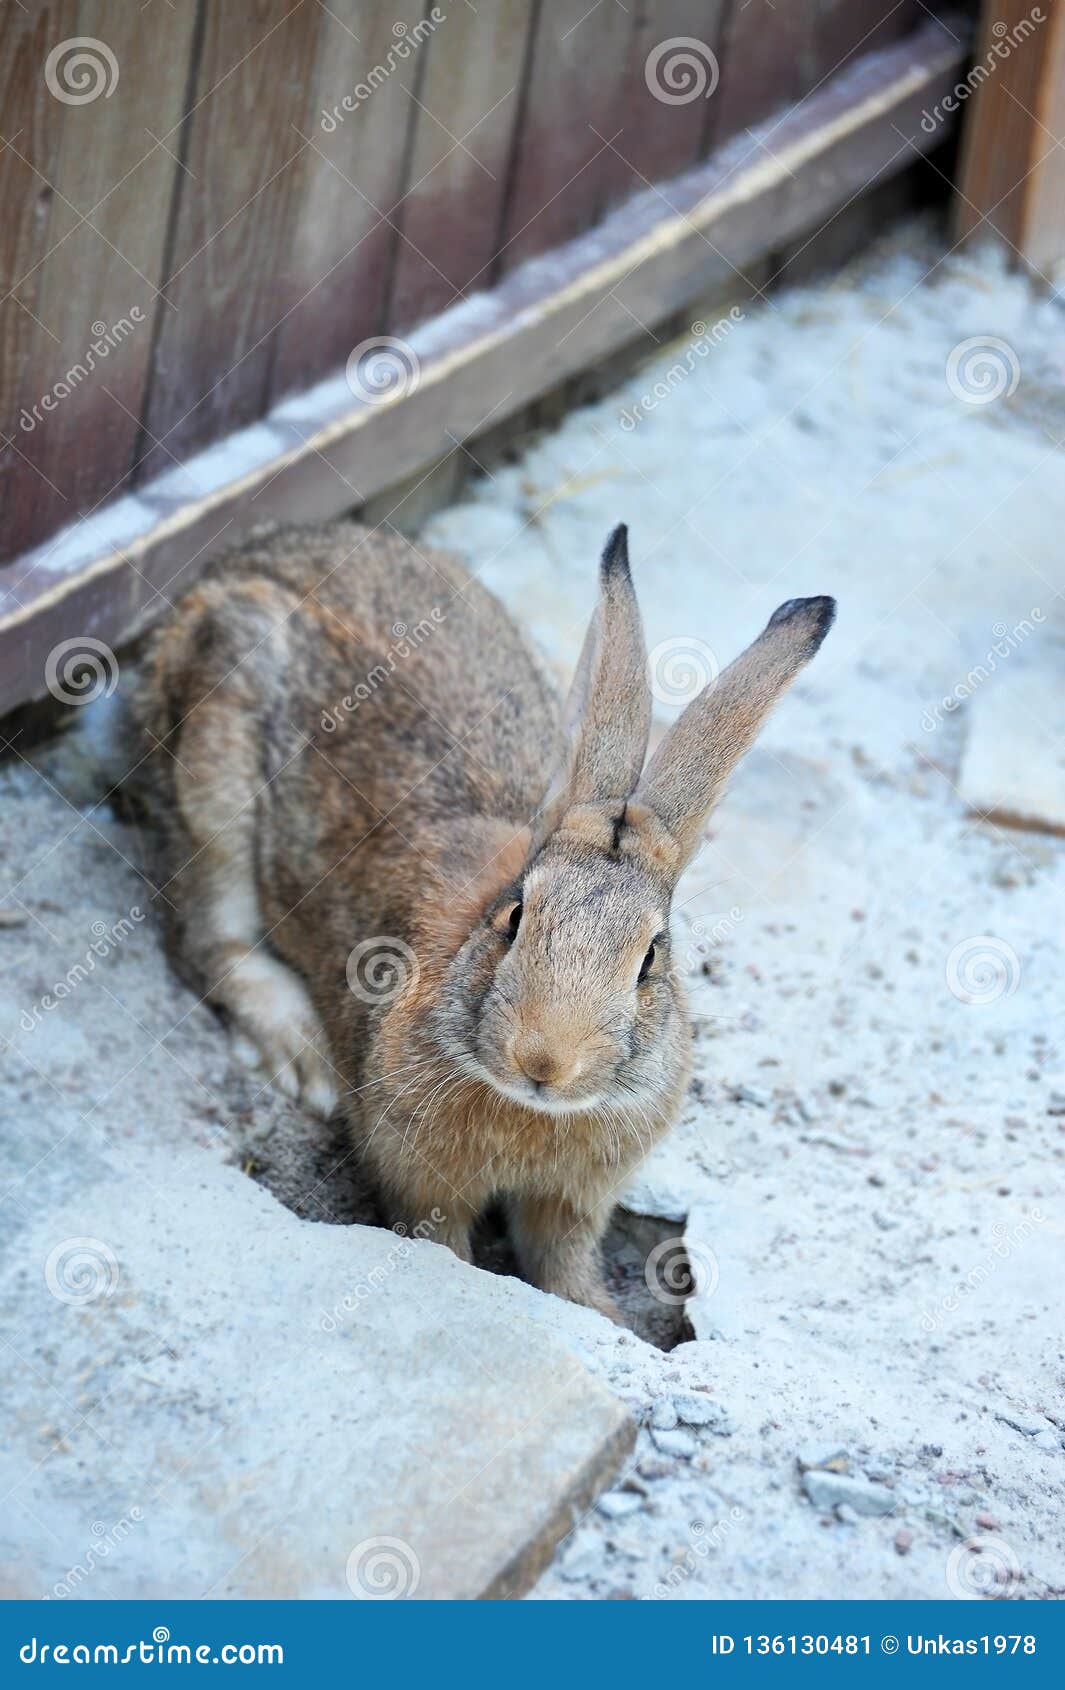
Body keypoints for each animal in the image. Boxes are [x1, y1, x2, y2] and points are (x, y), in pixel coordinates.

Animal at [131, 518, 834, 1319]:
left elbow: (563, 1263)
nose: (545, 1063)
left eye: (650, 957)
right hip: (215, 757)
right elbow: (443, 1249)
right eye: (517, 917)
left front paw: (597, 1312)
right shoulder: (418, 1180)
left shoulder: (573, 1202)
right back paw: (299, 1053)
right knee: (206, 937)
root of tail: (234, 561)